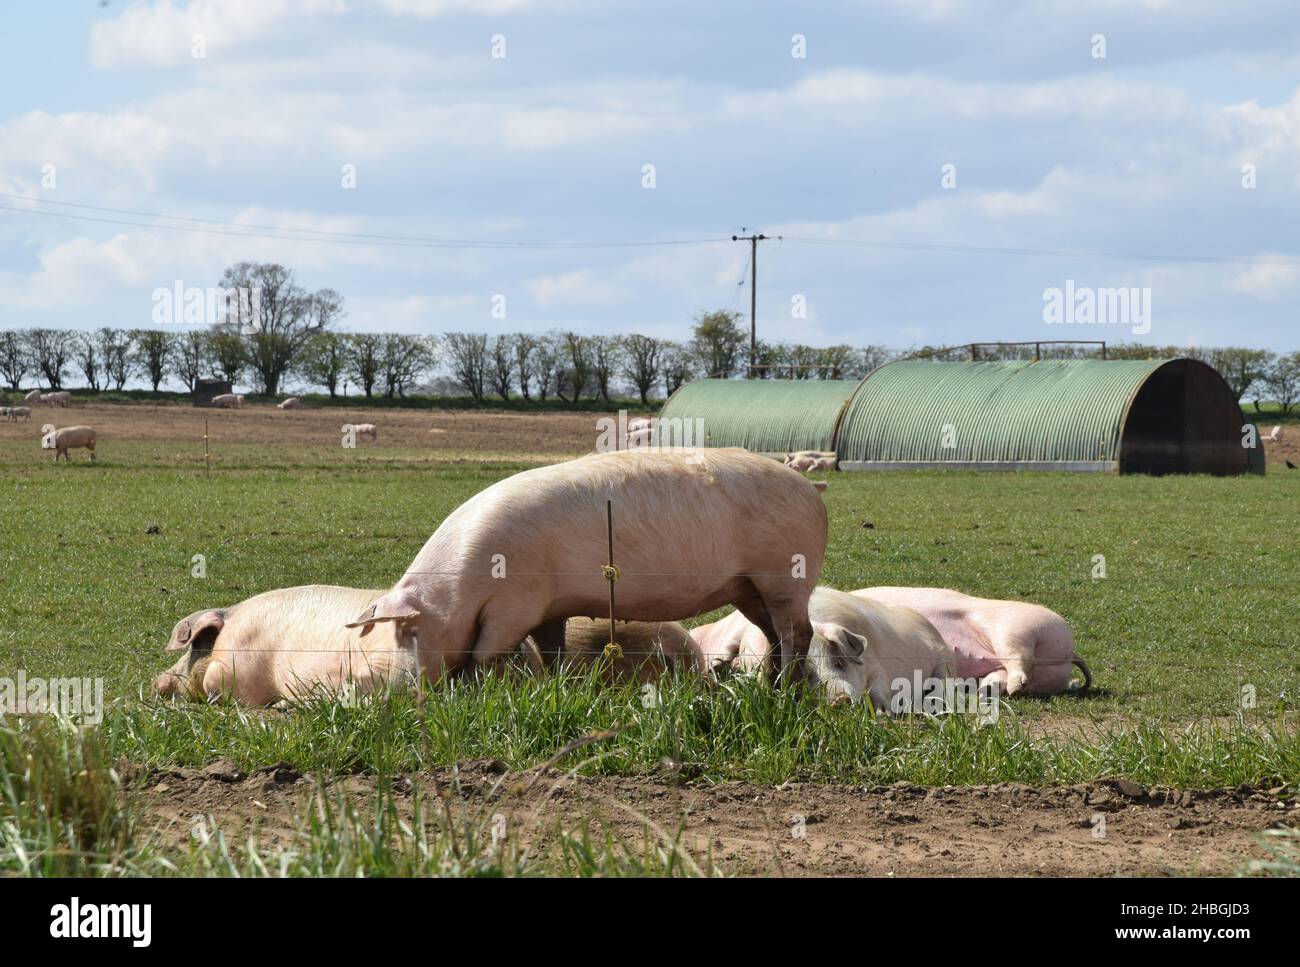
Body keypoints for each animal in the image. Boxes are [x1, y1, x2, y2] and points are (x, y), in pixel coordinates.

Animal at [693, 586, 953, 707]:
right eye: (804, 676)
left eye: (838, 662)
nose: (841, 699)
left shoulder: (875, 663)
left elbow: (878, 686)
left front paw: (882, 710)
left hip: (944, 663)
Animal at [852, 587, 1091, 695]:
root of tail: (1070, 655)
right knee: (1002, 674)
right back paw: (982, 689)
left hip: (1017, 628)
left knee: (1019, 659)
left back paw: (1013, 688)